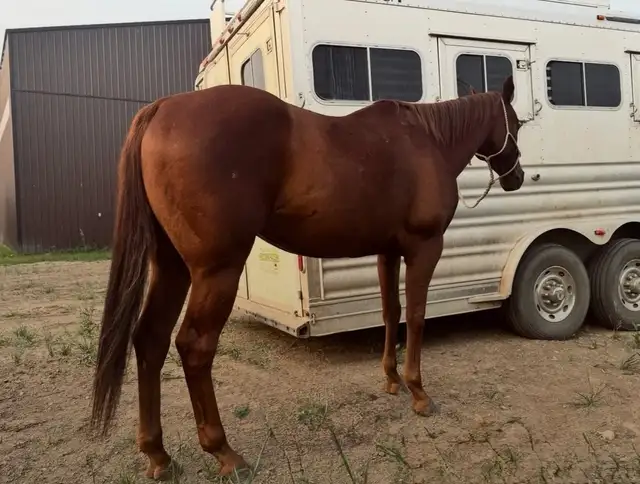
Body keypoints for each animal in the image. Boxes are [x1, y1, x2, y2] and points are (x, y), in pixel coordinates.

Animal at [90, 76, 524, 479]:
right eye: (517, 123)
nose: (517, 177)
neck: (427, 140)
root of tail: (162, 108)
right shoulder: (424, 247)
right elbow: (416, 317)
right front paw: (418, 392)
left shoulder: (387, 252)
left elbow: (391, 312)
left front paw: (391, 379)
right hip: (216, 270)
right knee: (195, 346)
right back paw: (224, 453)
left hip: (171, 266)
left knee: (151, 340)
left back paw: (158, 455)